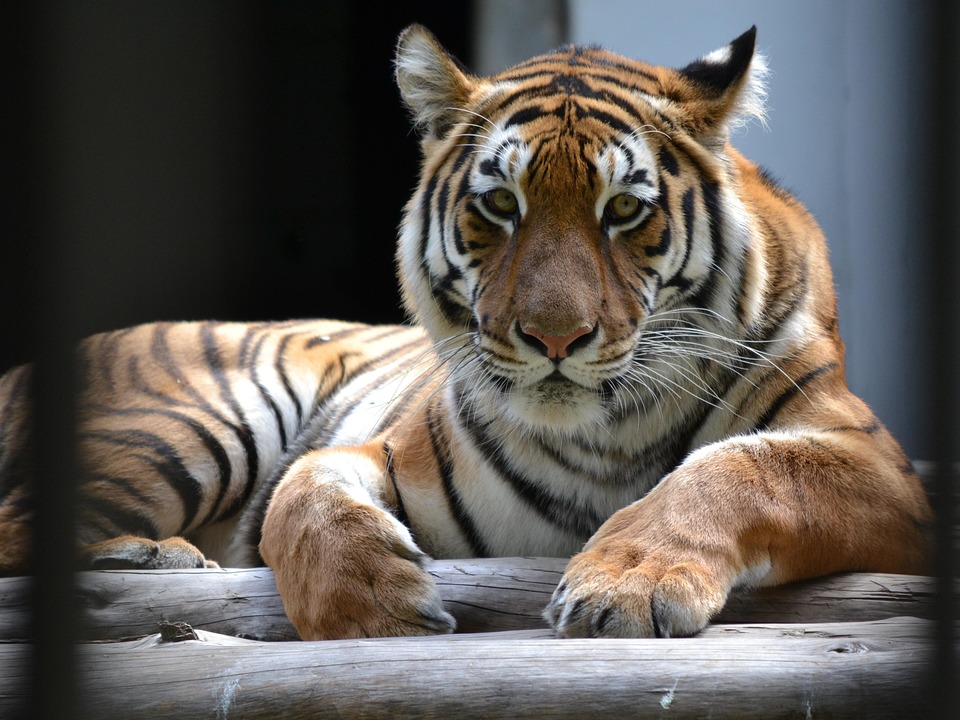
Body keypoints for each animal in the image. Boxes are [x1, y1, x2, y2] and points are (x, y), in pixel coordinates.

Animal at [0, 25, 932, 641]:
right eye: (499, 203)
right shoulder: (383, 448)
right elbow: (304, 491)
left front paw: (627, 585)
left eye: (624, 210)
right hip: (191, 422)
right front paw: (371, 608)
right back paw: (149, 559)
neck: (603, 440)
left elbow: (742, 470)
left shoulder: (875, 465)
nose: (555, 338)